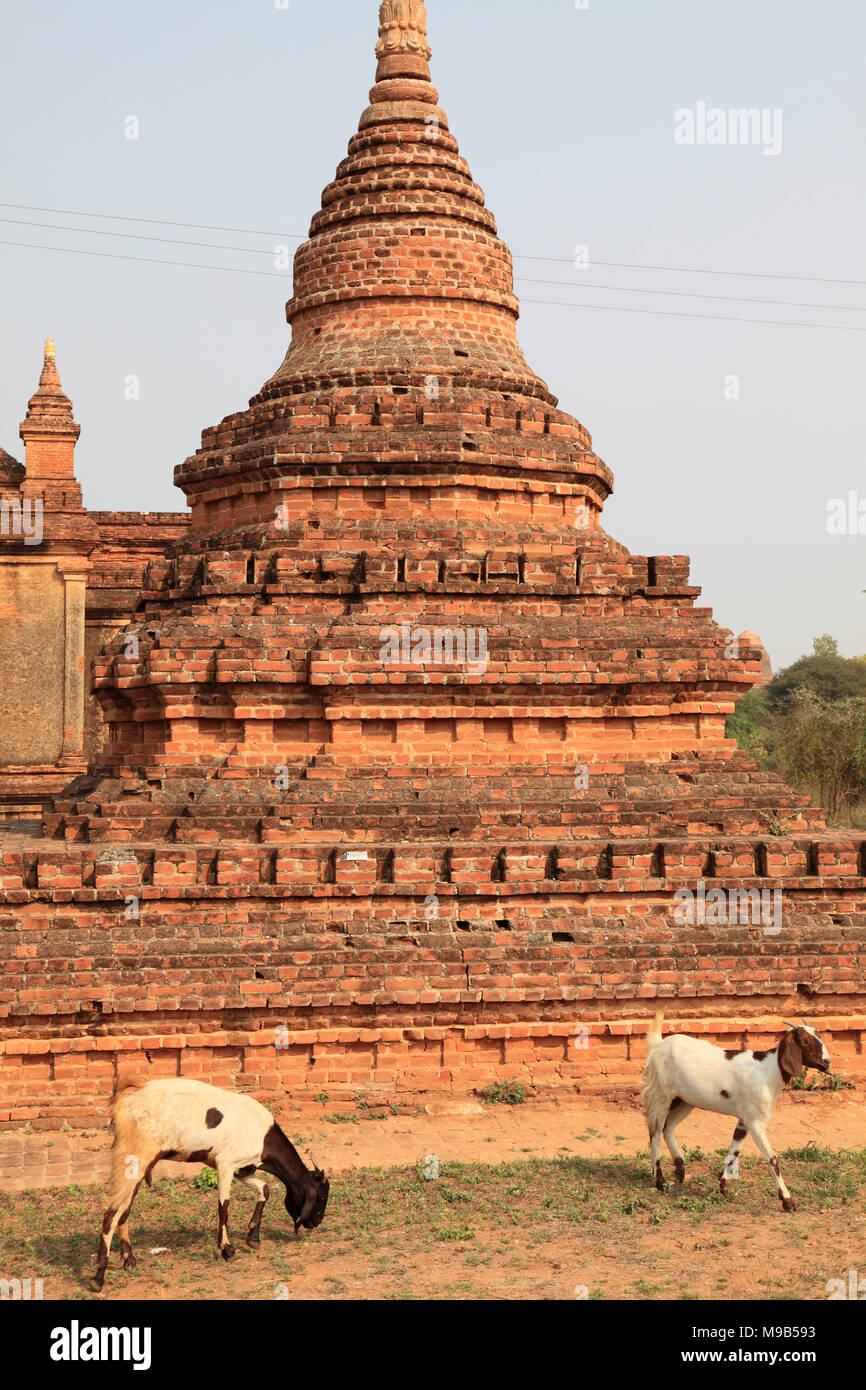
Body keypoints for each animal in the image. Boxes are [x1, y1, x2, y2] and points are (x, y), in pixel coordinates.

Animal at [89, 1078, 330, 1292]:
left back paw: (129, 1259)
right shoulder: (225, 1163)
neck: (263, 1135)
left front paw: (253, 1237)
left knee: (124, 1210)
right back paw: (98, 1279)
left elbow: (265, 1189)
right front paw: (227, 1249)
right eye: (320, 1197)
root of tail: (126, 1102)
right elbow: (224, 1206)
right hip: (137, 1158)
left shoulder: (244, 1169)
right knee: (111, 1214)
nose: (315, 1222)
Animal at [641, 1014, 830, 1212]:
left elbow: (734, 1152)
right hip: (661, 1093)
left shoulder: (744, 1119)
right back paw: (660, 1181)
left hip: (686, 1100)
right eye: (803, 1041)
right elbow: (773, 1159)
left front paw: (723, 1187)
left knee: (668, 1126)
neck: (768, 1072)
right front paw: (787, 1201)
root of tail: (658, 1045)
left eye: (819, 1036)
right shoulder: (755, 1121)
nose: (827, 1062)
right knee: (655, 1132)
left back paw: (680, 1169)